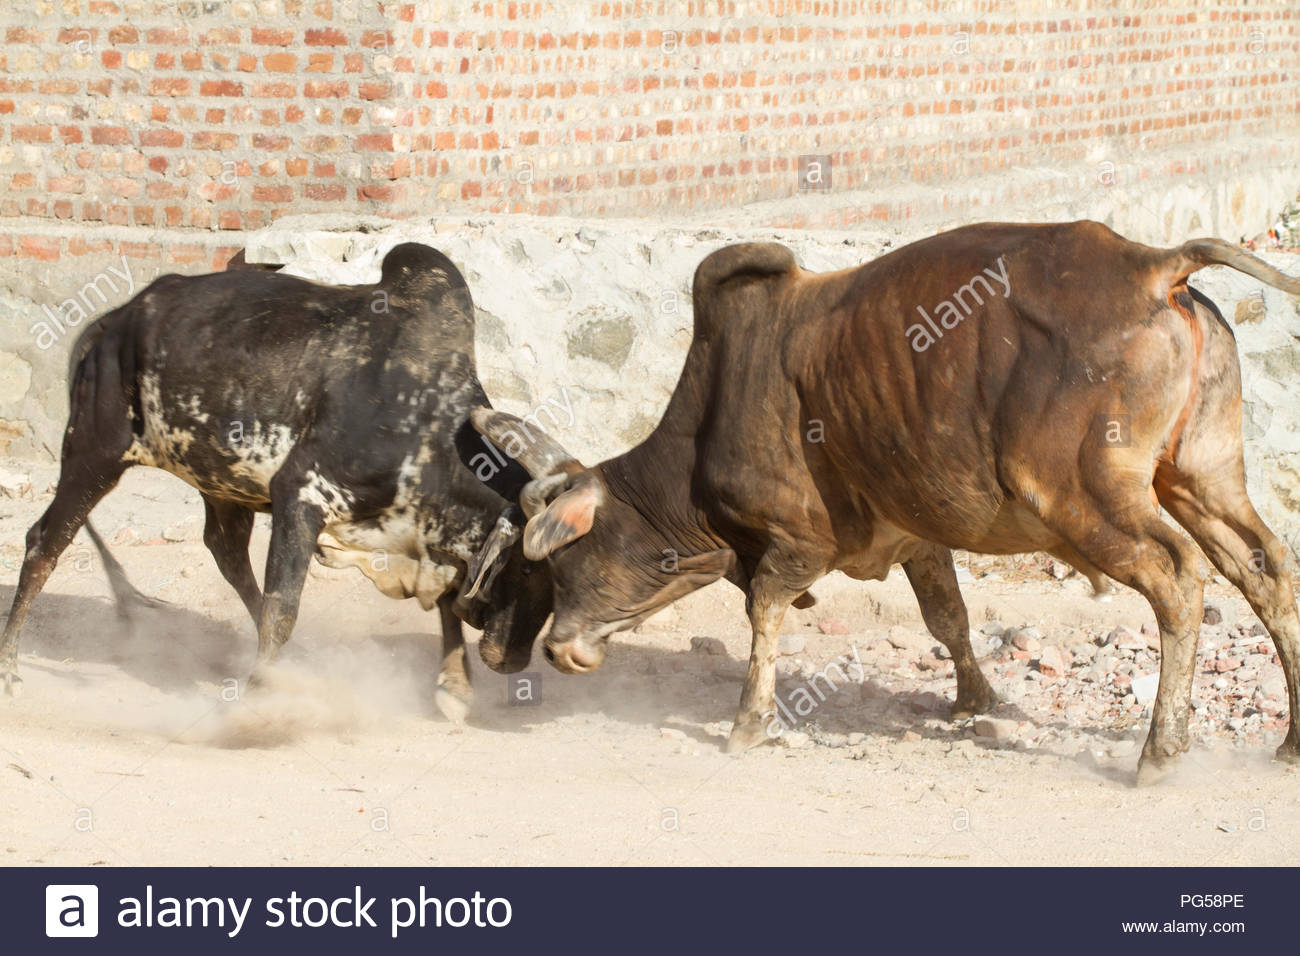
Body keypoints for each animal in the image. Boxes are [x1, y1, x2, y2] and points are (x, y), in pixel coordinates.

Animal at [0, 242, 549, 722]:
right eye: (530, 568)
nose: (515, 659)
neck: (428, 422)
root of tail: (115, 321)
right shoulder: (300, 496)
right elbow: (283, 608)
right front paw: (259, 702)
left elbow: (447, 603)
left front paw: (453, 689)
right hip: (93, 455)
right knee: (43, 543)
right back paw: (9, 671)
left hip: (221, 484)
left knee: (225, 552)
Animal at [471, 220, 1300, 782]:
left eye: (556, 559)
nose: (546, 648)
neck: (713, 407)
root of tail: (1152, 266)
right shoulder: (917, 539)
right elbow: (949, 620)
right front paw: (973, 700)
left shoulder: (794, 542)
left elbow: (764, 615)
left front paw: (749, 724)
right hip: (1202, 478)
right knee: (1268, 569)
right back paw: (1289, 741)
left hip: (1084, 497)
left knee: (1179, 579)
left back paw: (1160, 750)